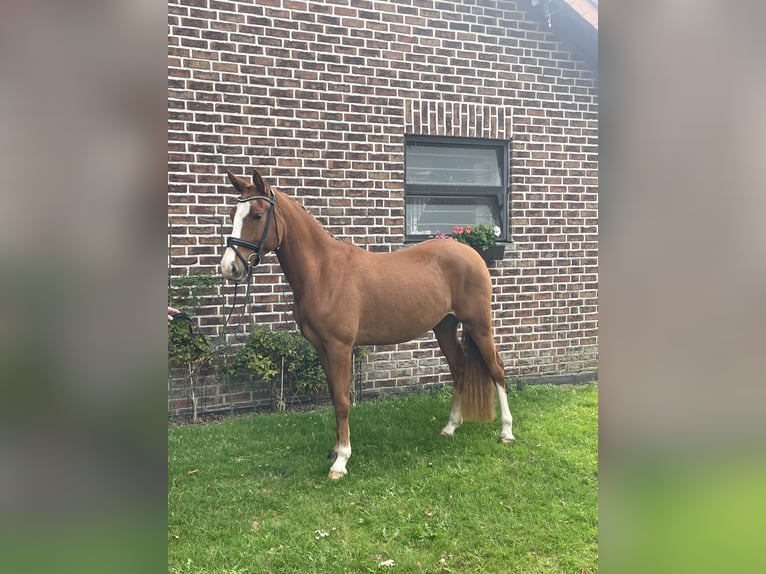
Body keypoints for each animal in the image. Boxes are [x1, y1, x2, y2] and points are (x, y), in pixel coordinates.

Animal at [220, 168, 514, 480]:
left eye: (257, 215)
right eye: (232, 213)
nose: (229, 268)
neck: (323, 272)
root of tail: (472, 254)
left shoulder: (340, 347)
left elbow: (342, 400)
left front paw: (341, 461)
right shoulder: (321, 348)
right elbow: (333, 396)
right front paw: (336, 449)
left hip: (479, 325)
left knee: (497, 369)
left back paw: (506, 432)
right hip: (444, 327)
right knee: (458, 368)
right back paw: (450, 427)